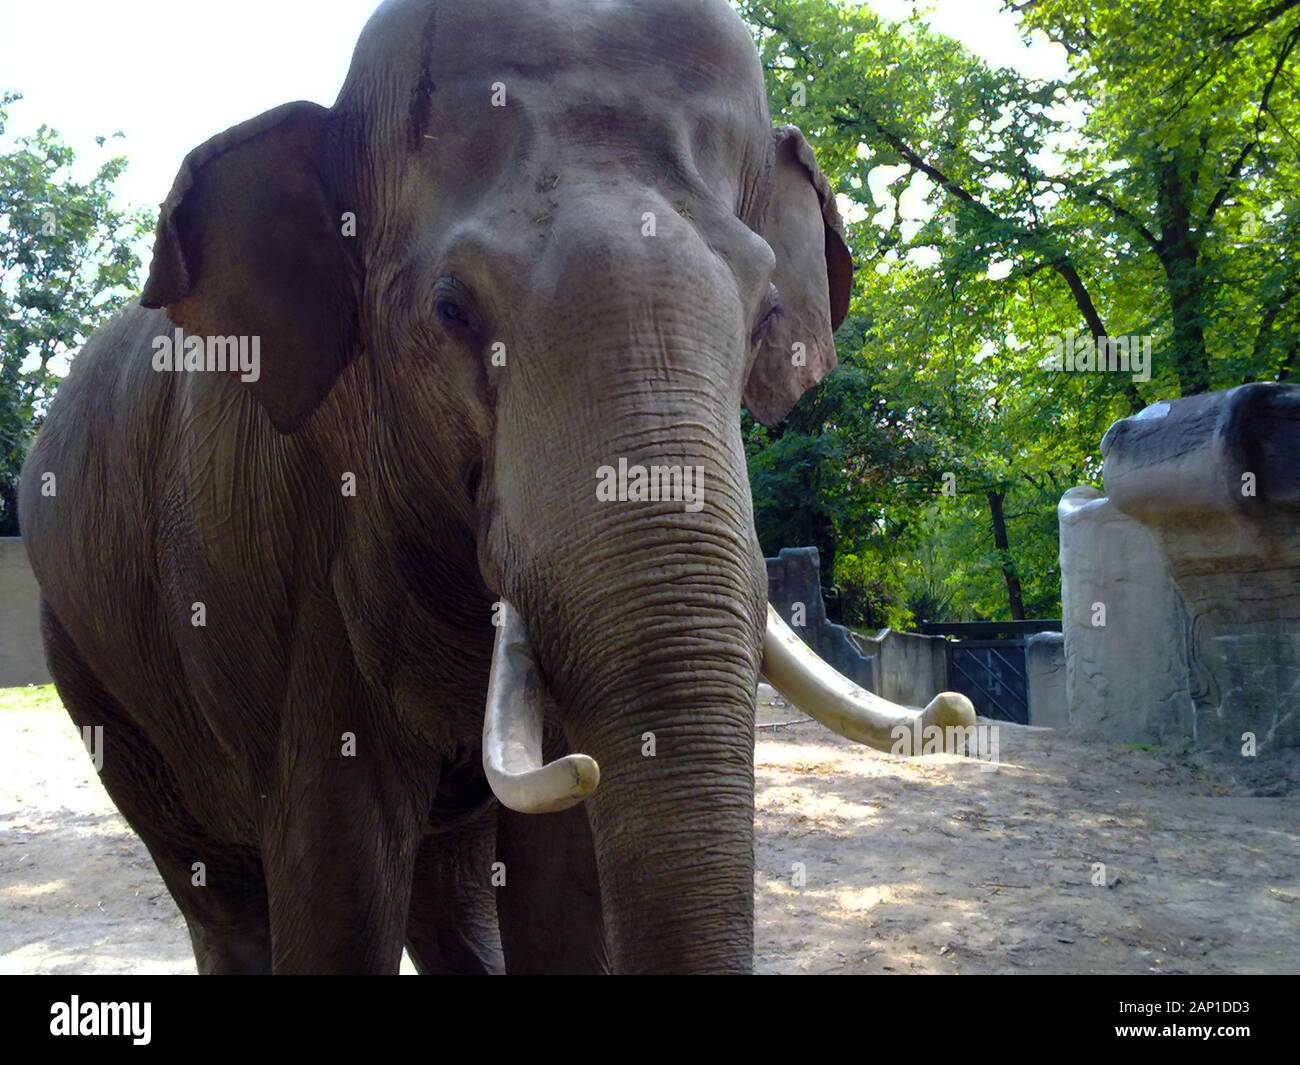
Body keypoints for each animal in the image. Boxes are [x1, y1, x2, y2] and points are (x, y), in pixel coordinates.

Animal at [19, 0, 973, 974]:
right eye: (451, 309)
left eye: (765, 316)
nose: (955, 704)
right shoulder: (283, 560)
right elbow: (340, 883)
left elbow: (558, 886)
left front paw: (572, 788)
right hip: (89, 658)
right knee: (220, 888)